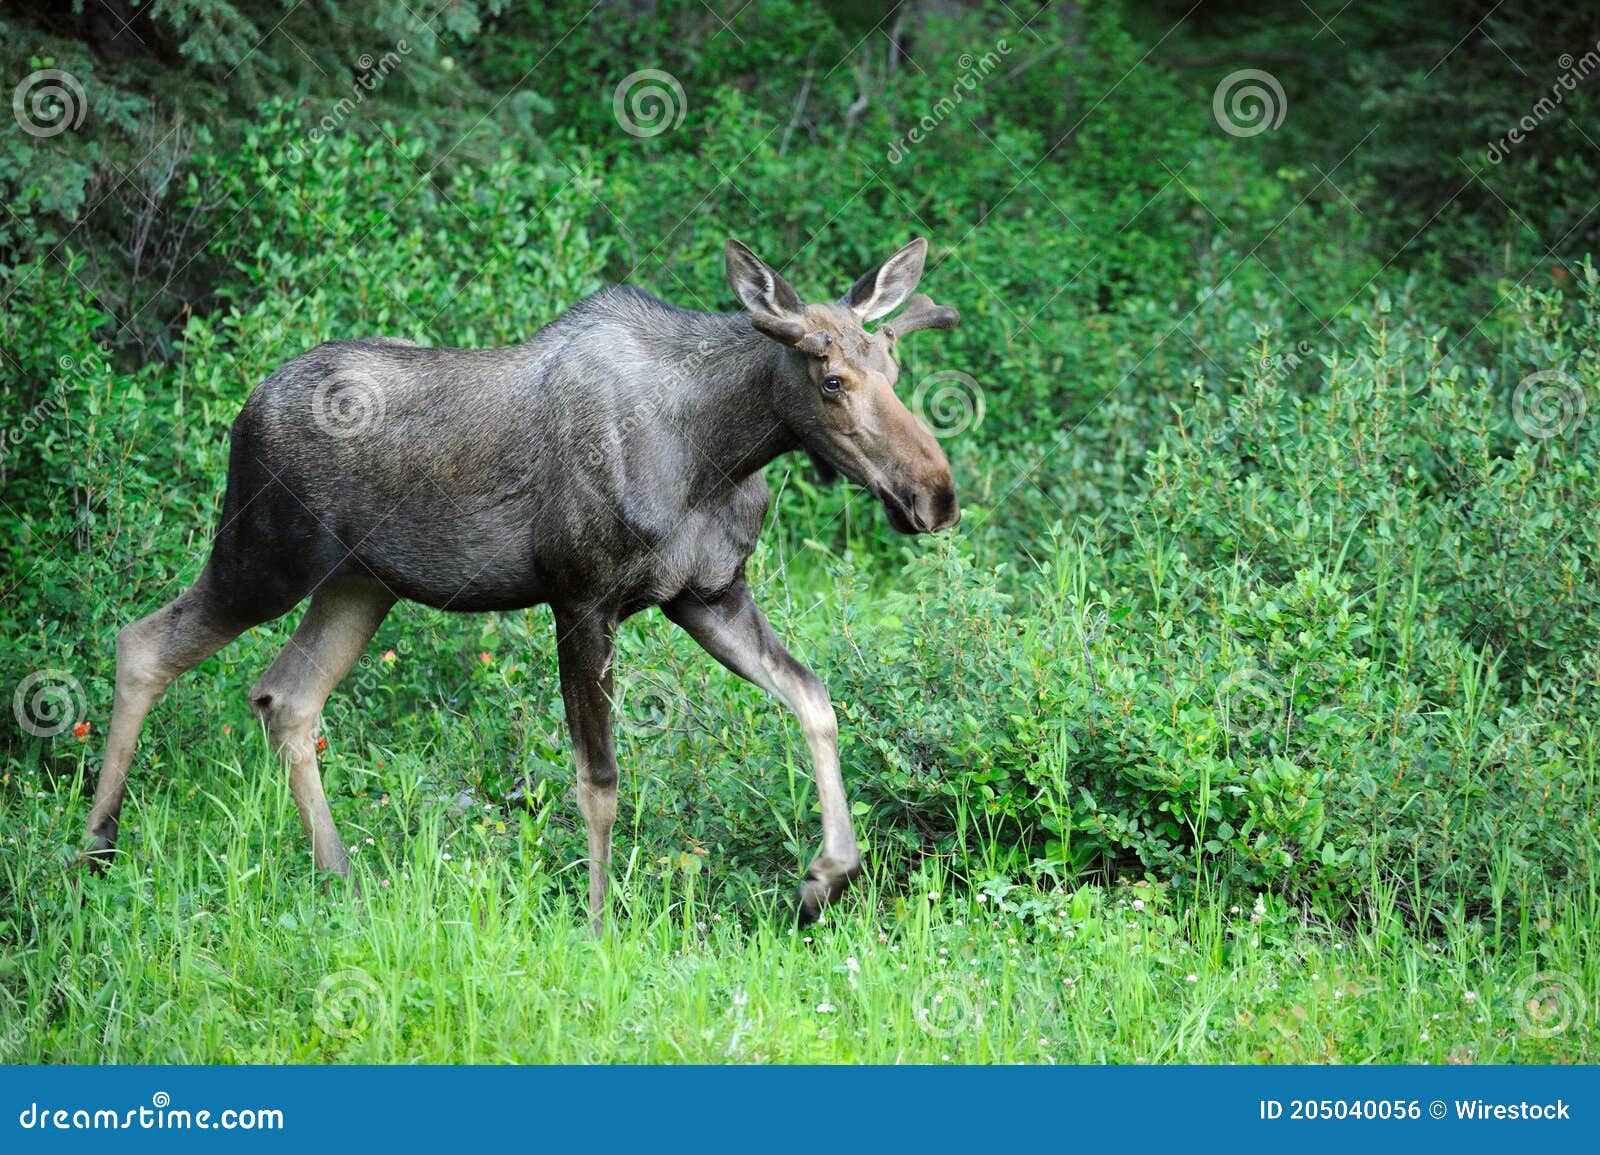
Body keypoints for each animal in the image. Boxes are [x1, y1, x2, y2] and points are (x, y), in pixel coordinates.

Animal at [81, 236, 961, 930]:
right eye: (831, 380)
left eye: (892, 364)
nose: (936, 494)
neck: (717, 452)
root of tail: (246, 406)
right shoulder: (581, 596)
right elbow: (599, 779)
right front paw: (600, 925)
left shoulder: (707, 595)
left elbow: (815, 698)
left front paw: (822, 880)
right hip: (262, 556)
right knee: (142, 643)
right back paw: (95, 847)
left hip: (359, 585)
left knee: (286, 696)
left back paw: (338, 876)